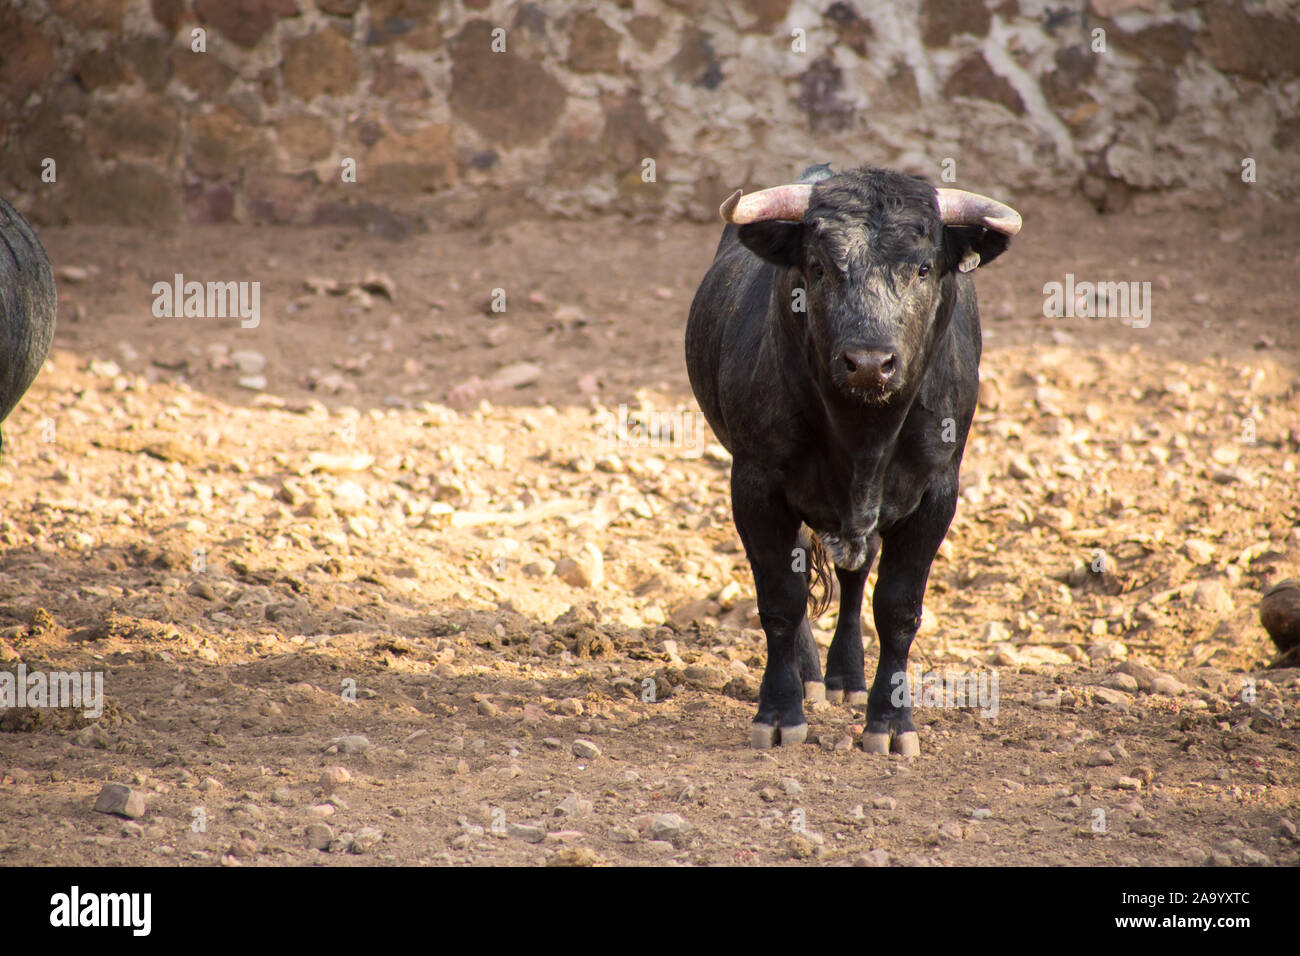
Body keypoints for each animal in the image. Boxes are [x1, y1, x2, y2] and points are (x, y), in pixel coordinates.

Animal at [685, 164, 1020, 753]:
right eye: (818, 267)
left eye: (924, 267)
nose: (868, 362)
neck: (865, 437)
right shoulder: (755, 484)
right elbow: (780, 599)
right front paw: (779, 713)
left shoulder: (937, 493)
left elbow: (897, 609)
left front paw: (890, 722)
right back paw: (810, 675)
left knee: (856, 574)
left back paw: (846, 676)